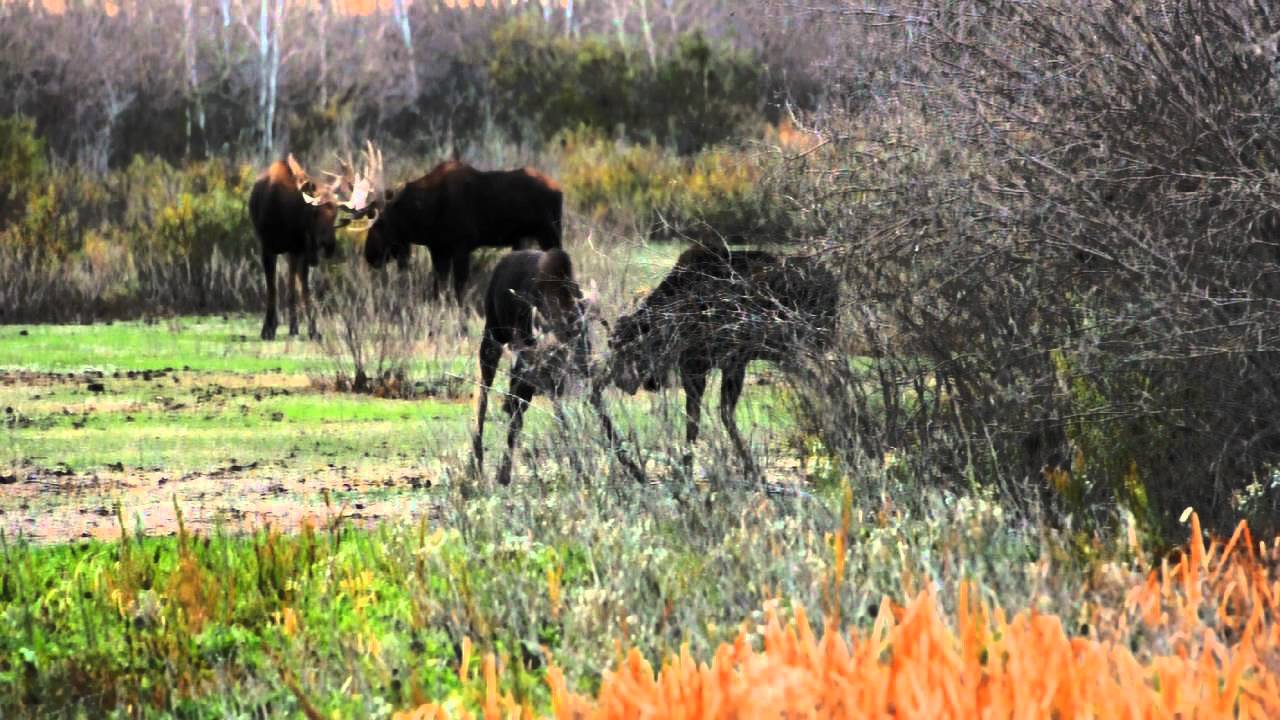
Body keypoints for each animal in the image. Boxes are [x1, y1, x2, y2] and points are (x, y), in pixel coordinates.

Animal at [248, 155, 346, 340]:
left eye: (336, 213)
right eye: (315, 211)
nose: (329, 244)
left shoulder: (299, 250)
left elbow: (303, 291)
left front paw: (313, 330)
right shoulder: (267, 248)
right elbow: (272, 291)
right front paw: (267, 329)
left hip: (294, 253)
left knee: (292, 288)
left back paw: (294, 327)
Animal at [358, 160, 563, 304]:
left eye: (380, 223)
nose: (370, 254)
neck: (424, 213)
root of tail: (559, 190)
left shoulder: (461, 247)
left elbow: (459, 290)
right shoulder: (439, 250)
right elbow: (439, 289)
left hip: (550, 233)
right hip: (523, 239)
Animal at [605, 244, 839, 476]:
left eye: (631, 348)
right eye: (613, 345)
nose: (621, 380)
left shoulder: (725, 364)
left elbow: (714, 416)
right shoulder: (702, 368)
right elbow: (701, 419)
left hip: (803, 351)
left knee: (827, 387)